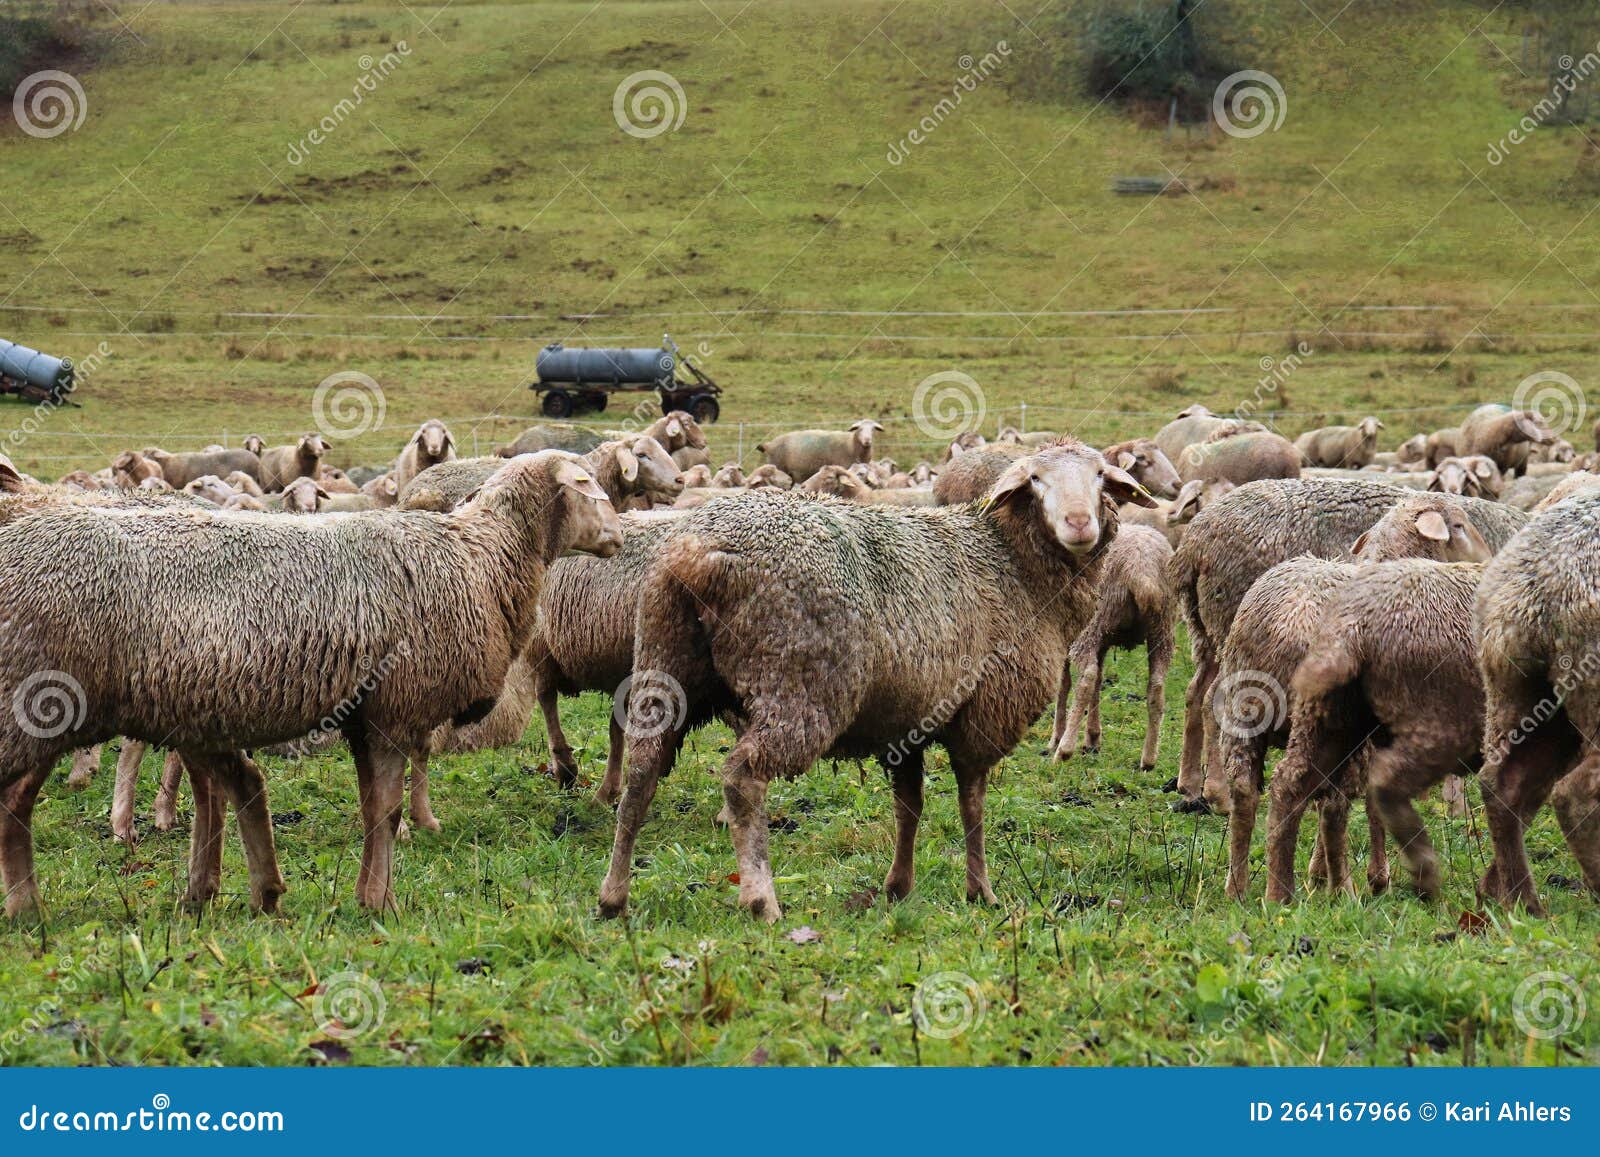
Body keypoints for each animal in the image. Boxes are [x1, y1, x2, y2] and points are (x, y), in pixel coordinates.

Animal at [0, 450, 623, 917]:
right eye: (588, 485)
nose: (619, 536)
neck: (482, 556)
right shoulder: (396, 709)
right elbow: (387, 812)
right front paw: (379, 901)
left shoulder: (365, 716)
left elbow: (372, 808)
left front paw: (368, 892)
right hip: (35, 706)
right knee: (15, 802)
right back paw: (28, 907)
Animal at [596, 441, 1155, 921]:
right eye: (1036, 479)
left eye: (1100, 475)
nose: (1079, 523)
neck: (1012, 562)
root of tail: (701, 552)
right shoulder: (984, 714)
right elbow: (972, 805)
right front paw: (981, 890)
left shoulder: (904, 721)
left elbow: (909, 806)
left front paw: (898, 887)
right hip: (800, 684)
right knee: (742, 779)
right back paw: (761, 900)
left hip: (666, 663)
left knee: (643, 771)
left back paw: (613, 897)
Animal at [1051, 525, 1174, 770]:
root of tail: (1142, 569)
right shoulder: (1103, 640)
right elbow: (1099, 680)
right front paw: (1092, 737)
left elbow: (1065, 684)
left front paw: (1056, 737)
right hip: (1161, 627)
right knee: (1156, 686)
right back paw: (1148, 760)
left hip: (1091, 625)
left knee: (1086, 680)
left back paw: (1064, 750)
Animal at [1169, 478, 1529, 809]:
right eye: (1458, 526)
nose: (1489, 560)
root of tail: (1193, 543)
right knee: (1214, 700)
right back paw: (1218, 793)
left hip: (1206, 630)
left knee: (1195, 692)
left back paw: (1189, 784)